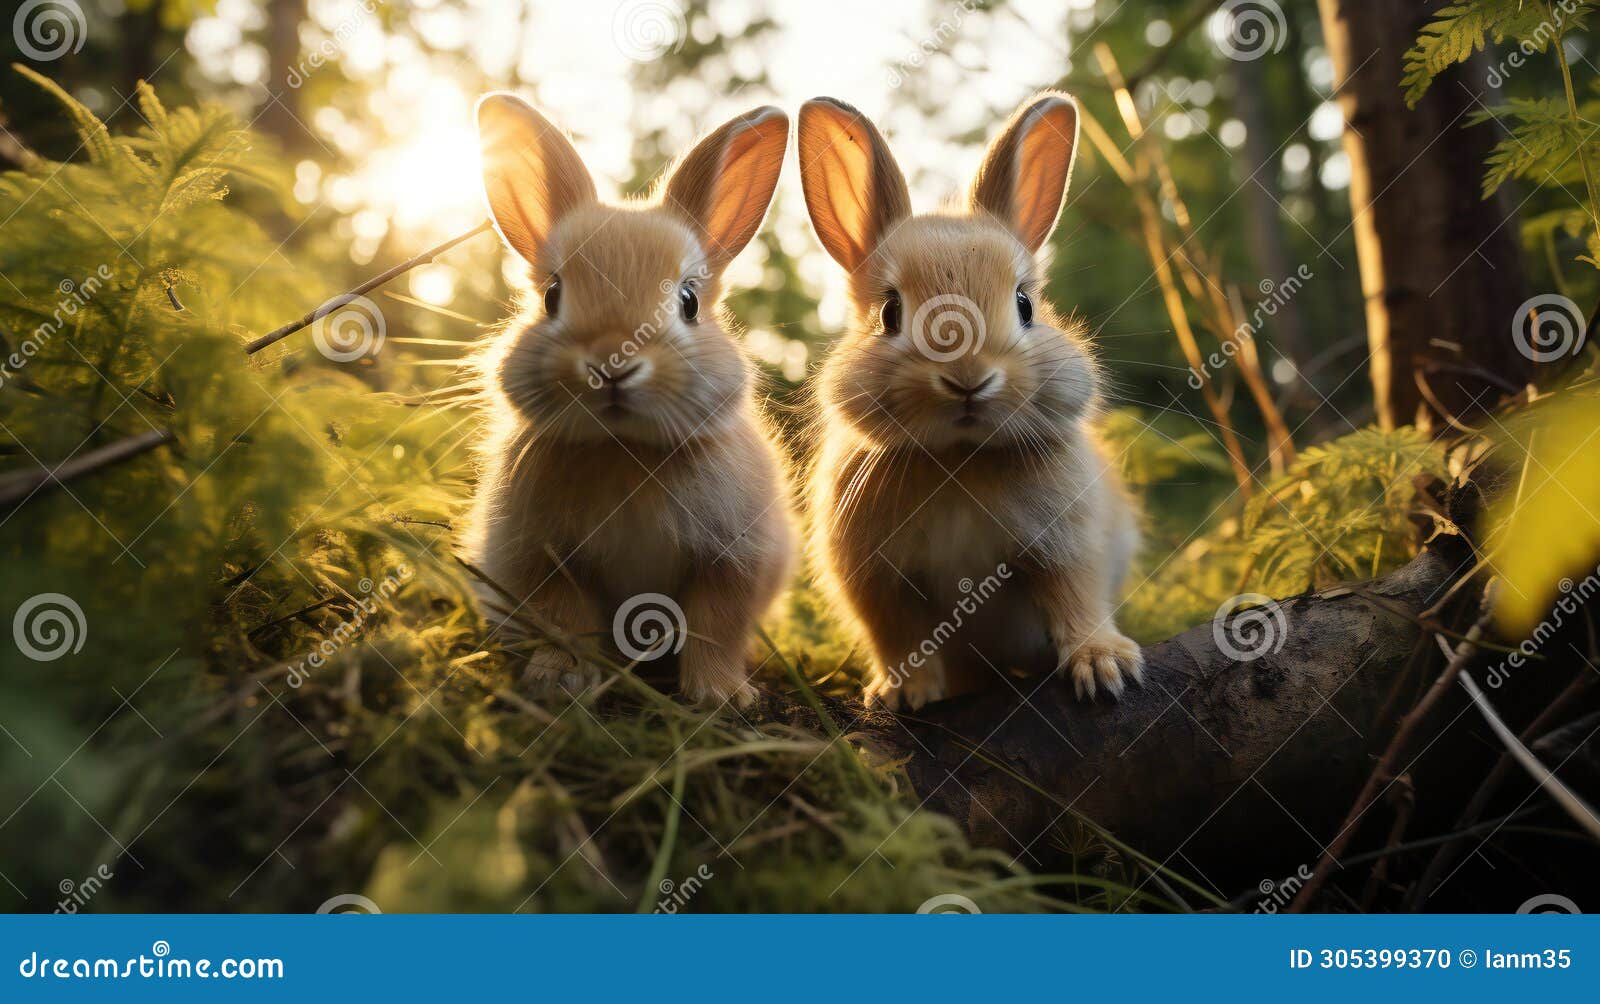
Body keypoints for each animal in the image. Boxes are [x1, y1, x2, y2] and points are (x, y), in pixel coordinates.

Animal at [462, 93, 796, 708]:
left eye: (689, 302)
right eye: (552, 296)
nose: (612, 363)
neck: (626, 450)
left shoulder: (734, 560)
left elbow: (716, 626)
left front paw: (719, 696)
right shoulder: (544, 561)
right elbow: (564, 622)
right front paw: (561, 680)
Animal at [796, 91, 1142, 710]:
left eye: (1025, 304)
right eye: (890, 312)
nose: (968, 379)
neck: (957, 459)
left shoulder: (1068, 546)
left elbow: (1077, 599)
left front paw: (1104, 667)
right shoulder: (876, 580)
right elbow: (896, 634)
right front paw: (900, 694)